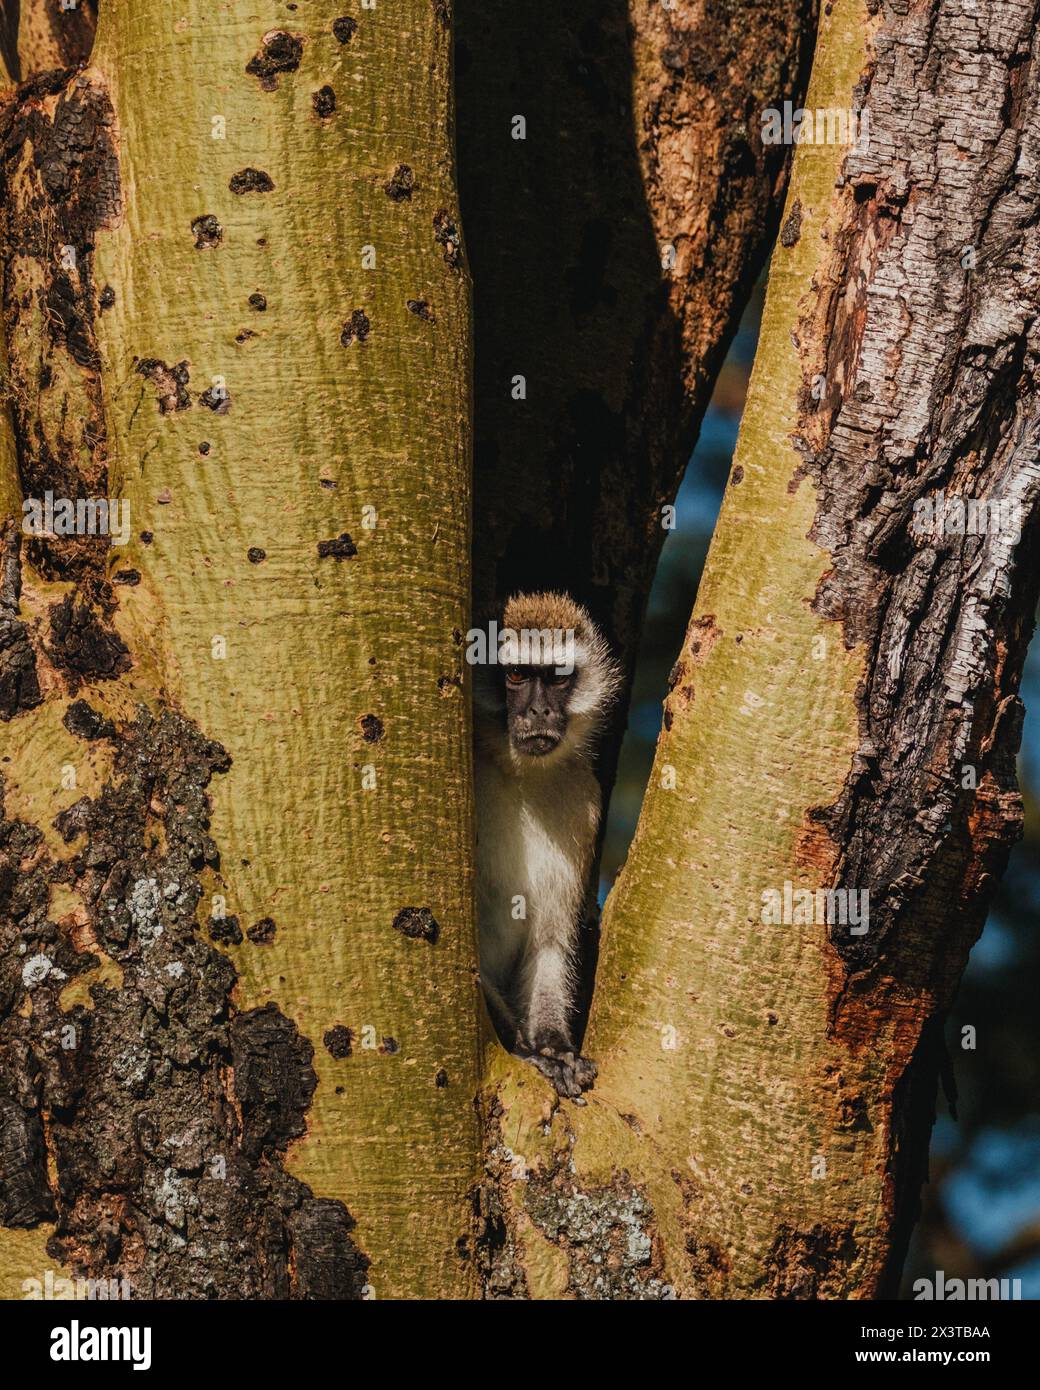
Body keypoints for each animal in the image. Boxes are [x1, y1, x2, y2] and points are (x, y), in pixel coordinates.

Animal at [473, 591, 620, 1098]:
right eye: (517, 675)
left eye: (557, 676)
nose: (539, 713)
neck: (521, 772)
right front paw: (524, 1048)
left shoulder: (584, 799)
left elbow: (550, 943)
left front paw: (555, 1048)